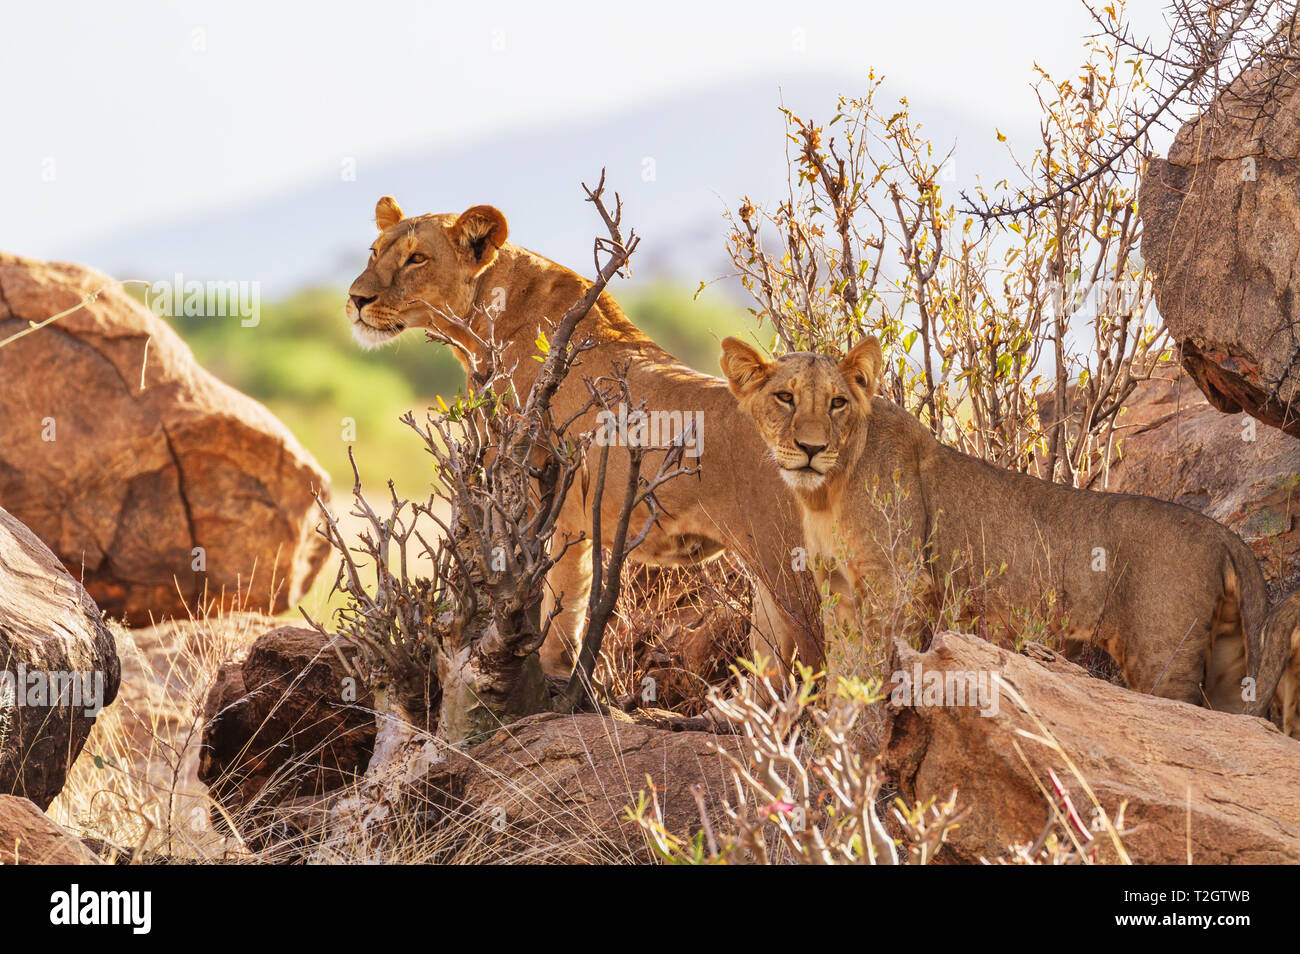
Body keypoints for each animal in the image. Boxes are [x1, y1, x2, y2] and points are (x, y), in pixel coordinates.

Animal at [346, 197, 817, 678]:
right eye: (374, 252)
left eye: (417, 259)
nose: (356, 299)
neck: (484, 320)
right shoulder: (574, 512)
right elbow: (567, 601)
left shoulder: (532, 488)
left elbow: (540, 594)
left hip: (795, 571)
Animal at [719, 335, 1293, 719]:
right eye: (785, 398)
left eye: (837, 403)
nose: (811, 448)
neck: (825, 494)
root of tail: (1223, 535)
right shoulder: (837, 589)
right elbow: (843, 668)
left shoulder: (901, 584)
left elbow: (878, 663)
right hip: (1228, 660)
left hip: (1162, 660)